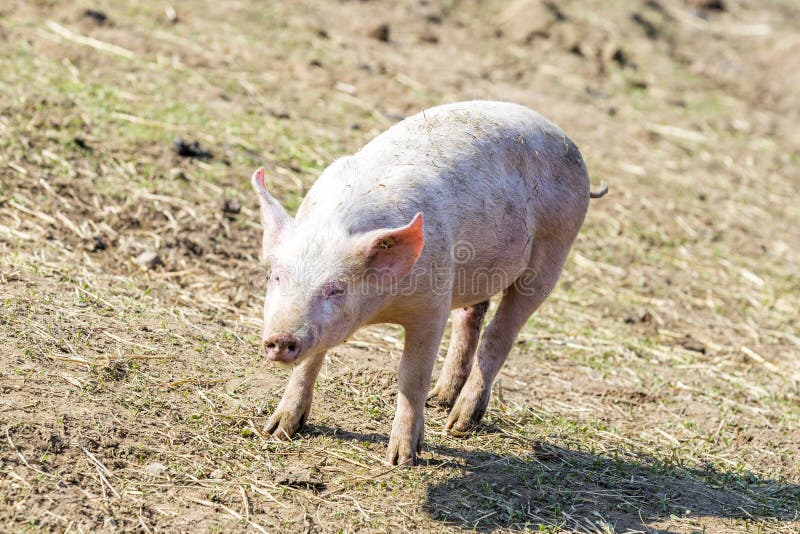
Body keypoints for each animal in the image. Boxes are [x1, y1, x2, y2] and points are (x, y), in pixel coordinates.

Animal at [251, 100, 607, 466]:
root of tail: (566, 140)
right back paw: (440, 400)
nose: (280, 339)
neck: (379, 309)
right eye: (275, 276)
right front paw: (277, 430)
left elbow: (412, 377)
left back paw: (458, 425)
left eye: (335, 289)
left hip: (554, 250)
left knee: (501, 333)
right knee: (472, 315)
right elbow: (310, 363)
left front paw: (402, 460)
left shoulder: (432, 306)